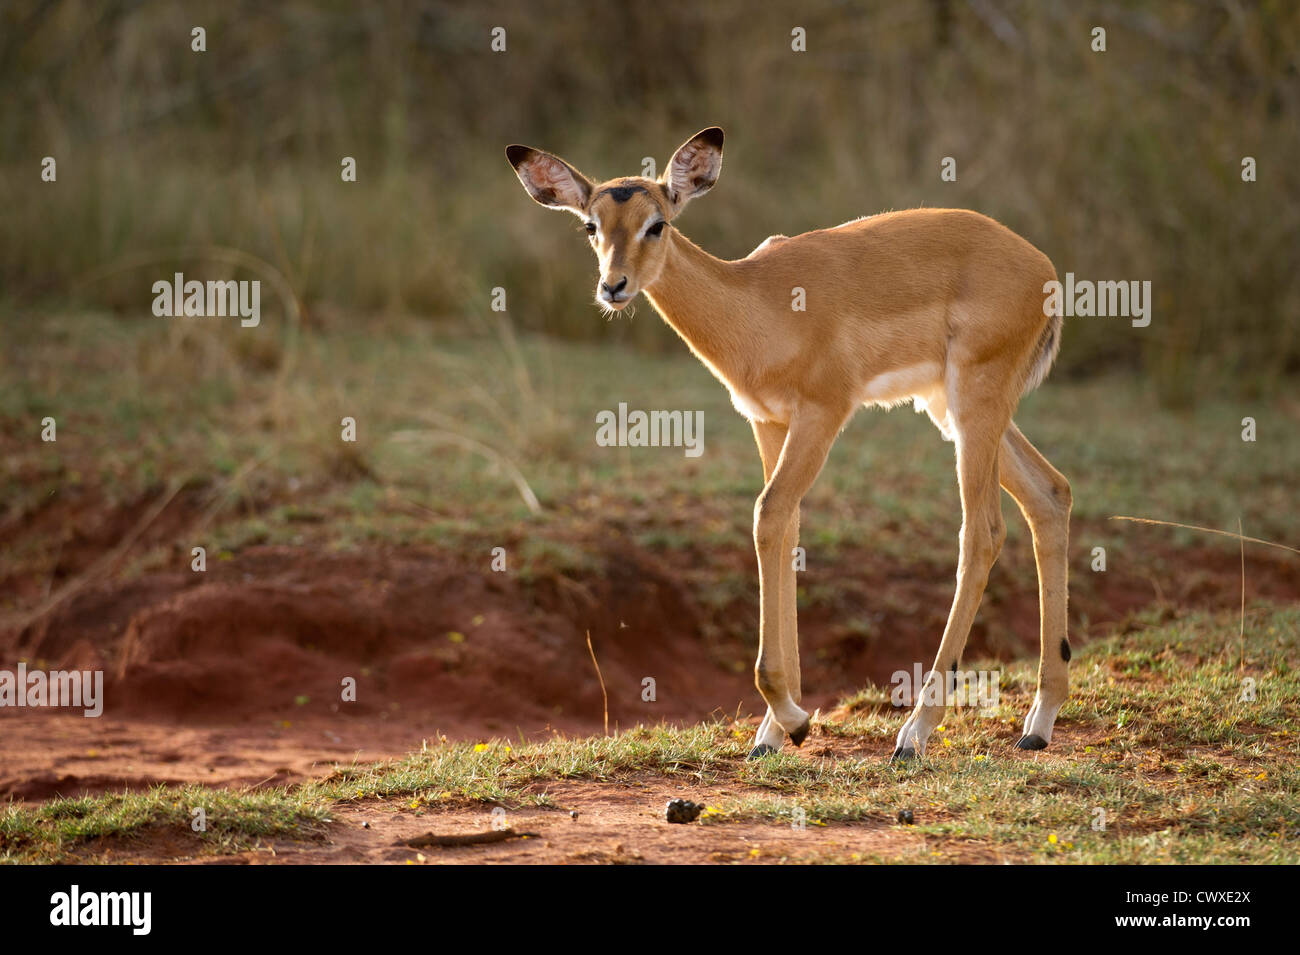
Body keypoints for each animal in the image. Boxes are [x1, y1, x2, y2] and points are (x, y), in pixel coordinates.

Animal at [506, 127, 1072, 760]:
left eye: (657, 223)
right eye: (591, 224)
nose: (613, 287)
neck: (759, 305)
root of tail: (1042, 266)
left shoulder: (822, 417)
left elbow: (768, 514)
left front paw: (792, 719)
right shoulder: (768, 422)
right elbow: (785, 530)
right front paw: (777, 729)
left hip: (973, 403)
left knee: (983, 533)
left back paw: (914, 734)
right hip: (953, 409)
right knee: (1051, 494)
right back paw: (1038, 723)